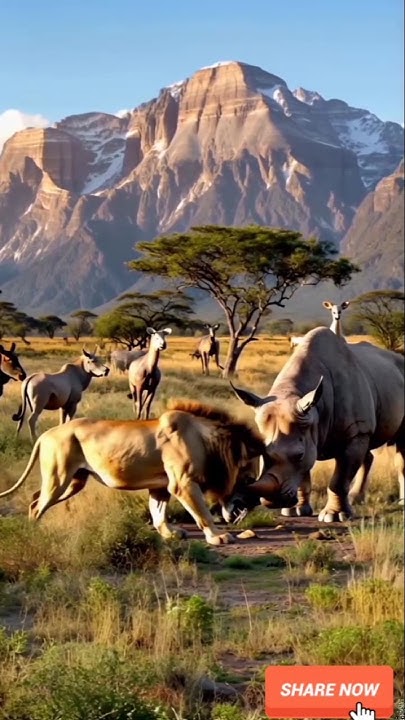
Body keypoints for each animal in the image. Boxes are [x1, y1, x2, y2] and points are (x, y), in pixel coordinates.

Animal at [0, 400, 265, 546]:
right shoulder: (182, 483)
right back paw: (32, 535)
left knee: (34, 499)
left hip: (75, 481)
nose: (244, 510)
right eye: (249, 478)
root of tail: (45, 434)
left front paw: (169, 534)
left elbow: (158, 513)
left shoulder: (161, 486)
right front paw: (217, 536)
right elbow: (202, 513)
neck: (205, 439)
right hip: (59, 479)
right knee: (38, 505)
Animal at [229, 327, 404, 522]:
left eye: (298, 455)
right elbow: (303, 478)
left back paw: (401, 503)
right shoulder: (308, 428)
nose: (272, 501)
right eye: (261, 454)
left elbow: (339, 480)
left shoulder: (353, 430)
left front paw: (334, 516)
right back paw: (356, 499)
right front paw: (296, 511)